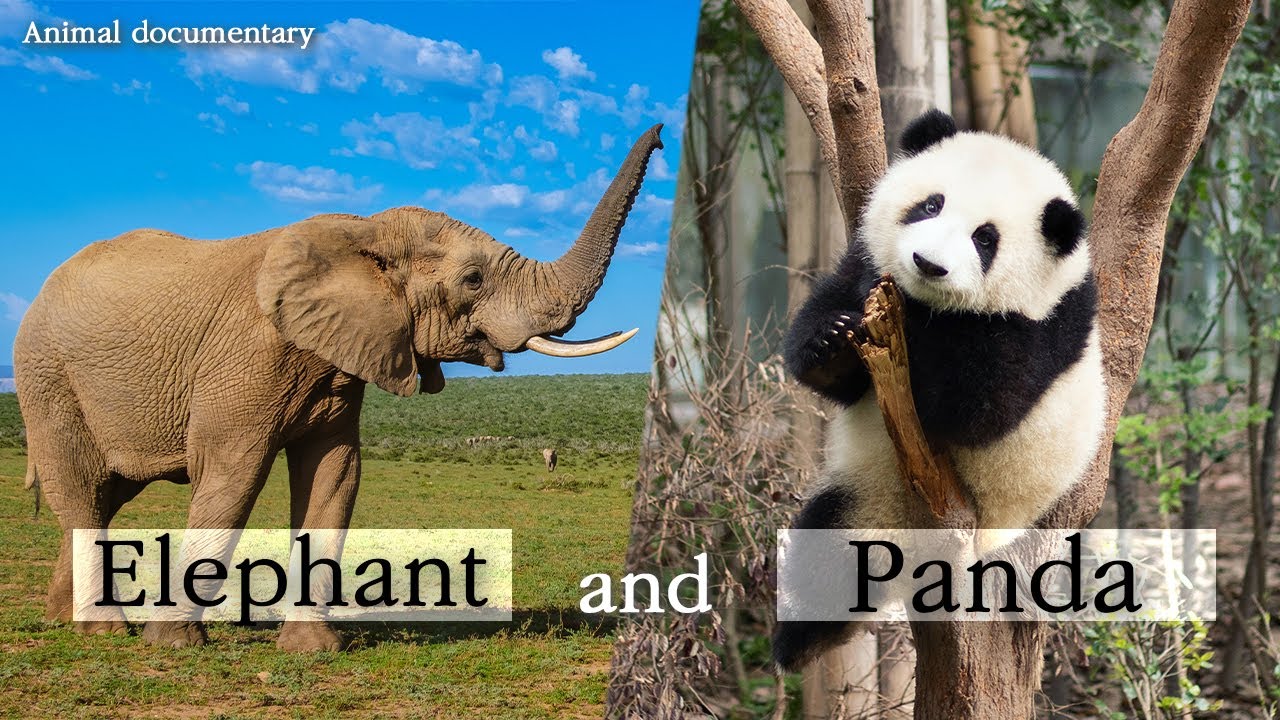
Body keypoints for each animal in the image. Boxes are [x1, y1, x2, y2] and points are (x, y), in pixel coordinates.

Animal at [14, 124, 663, 651]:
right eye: (473, 279)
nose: (660, 135)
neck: (363, 231)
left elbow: (335, 475)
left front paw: (313, 650)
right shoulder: (247, 356)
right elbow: (231, 476)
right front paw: (172, 645)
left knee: (103, 495)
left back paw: (64, 622)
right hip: (46, 375)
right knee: (80, 487)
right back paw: (103, 631)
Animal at [773, 109, 1106, 670]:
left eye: (985, 239)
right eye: (931, 204)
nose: (927, 264)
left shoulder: (1039, 328)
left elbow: (978, 410)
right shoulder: (863, 259)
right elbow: (834, 347)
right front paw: (832, 338)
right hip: (864, 492)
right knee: (820, 554)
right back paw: (801, 641)